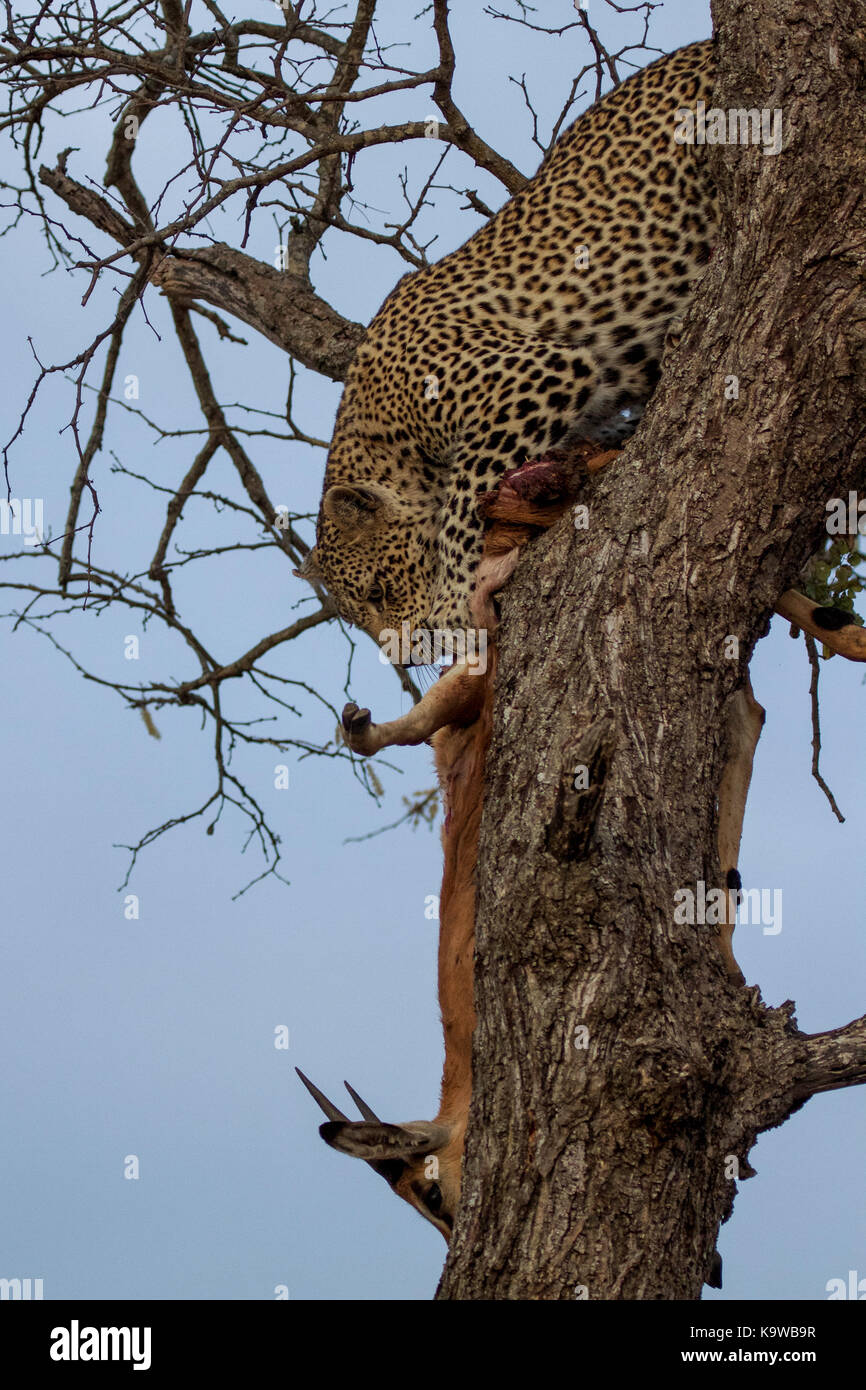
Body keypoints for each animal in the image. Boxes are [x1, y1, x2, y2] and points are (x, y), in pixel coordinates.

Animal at [299, 39, 718, 654]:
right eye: (360, 617)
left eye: (379, 590)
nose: (406, 658)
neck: (383, 425)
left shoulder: (532, 376)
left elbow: (462, 501)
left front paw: (453, 603)